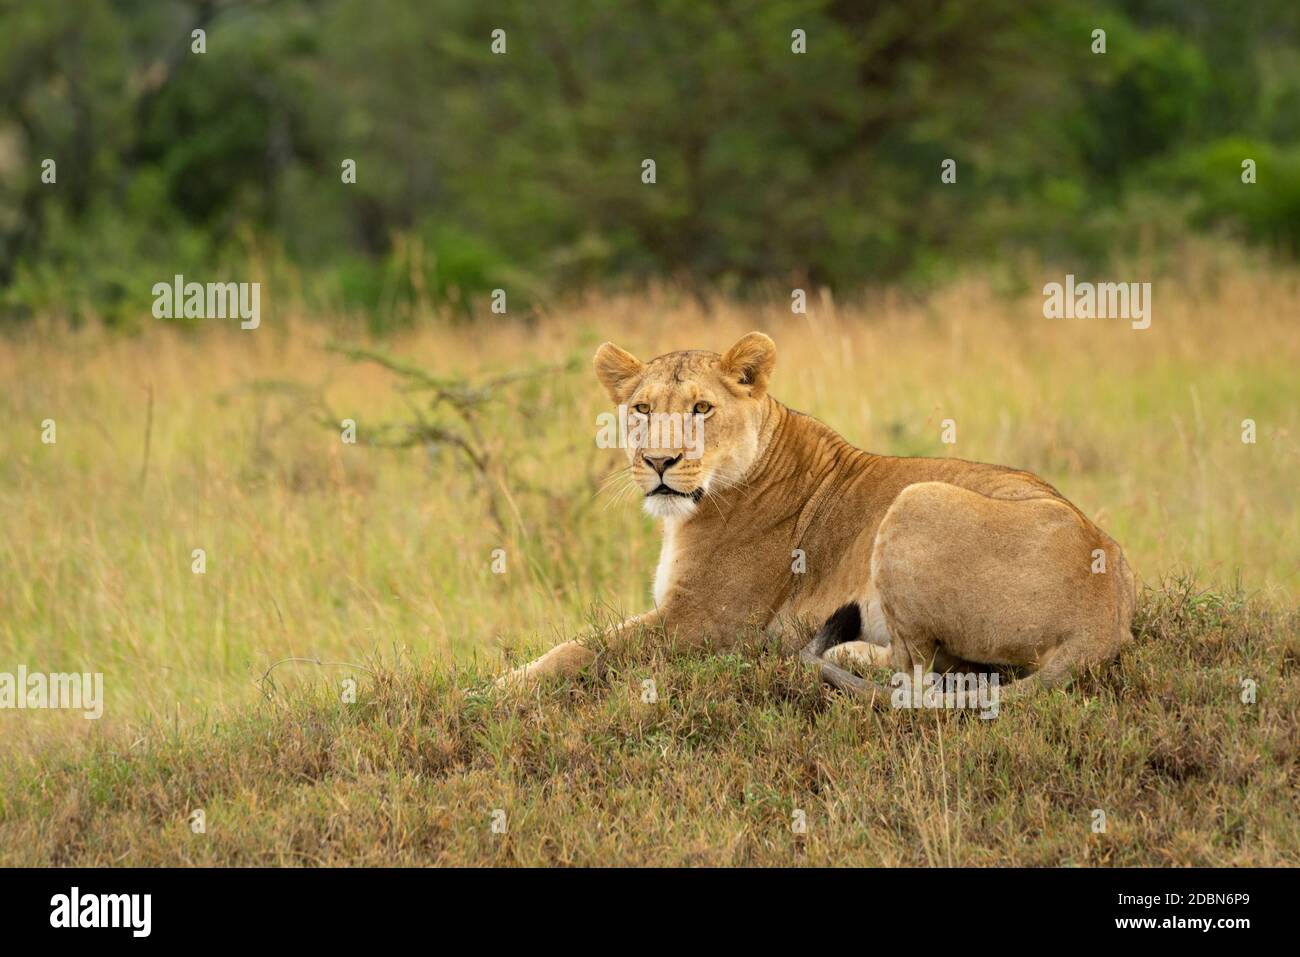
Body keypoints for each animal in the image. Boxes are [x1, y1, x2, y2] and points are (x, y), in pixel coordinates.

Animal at [496, 331, 1136, 706]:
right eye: (641, 409)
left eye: (702, 408)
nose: (659, 461)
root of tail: (1103, 620)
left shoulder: (707, 625)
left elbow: (580, 648)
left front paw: (497, 689)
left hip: (917, 498)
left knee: (925, 668)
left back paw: (842, 654)